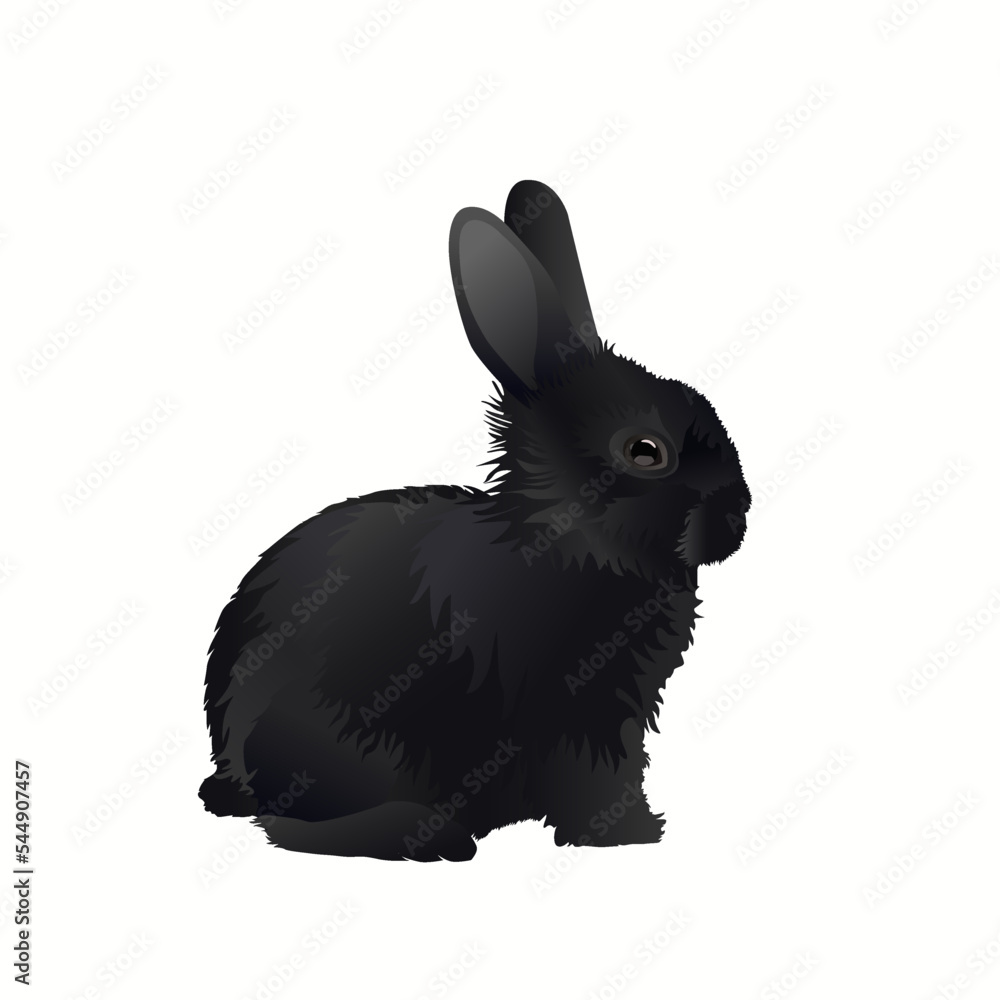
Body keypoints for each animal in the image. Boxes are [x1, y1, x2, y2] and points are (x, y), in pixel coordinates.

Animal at [199, 179, 751, 861]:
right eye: (644, 451)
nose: (738, 515)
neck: (568, 540)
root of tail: (228, 764)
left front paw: (636, 832)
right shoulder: (572, 714)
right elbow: (590, 776)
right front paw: (622, 838)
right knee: (292, 824)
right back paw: (430, 835)